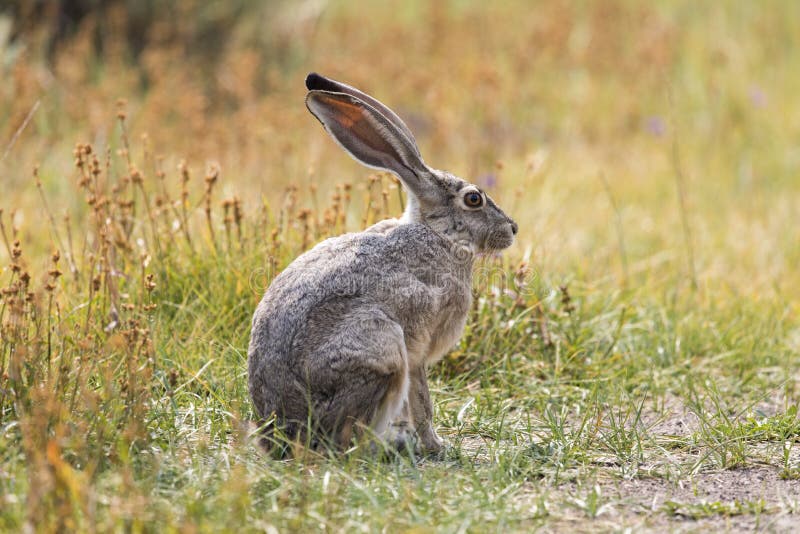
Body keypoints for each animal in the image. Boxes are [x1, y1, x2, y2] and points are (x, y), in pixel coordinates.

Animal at [248, 72, 517, 453]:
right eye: (474, 199)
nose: (512, 229)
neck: (438, 234)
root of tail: (285, 433)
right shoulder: (417, 347)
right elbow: (422, 401)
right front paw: (436, 446)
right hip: (381, 348)